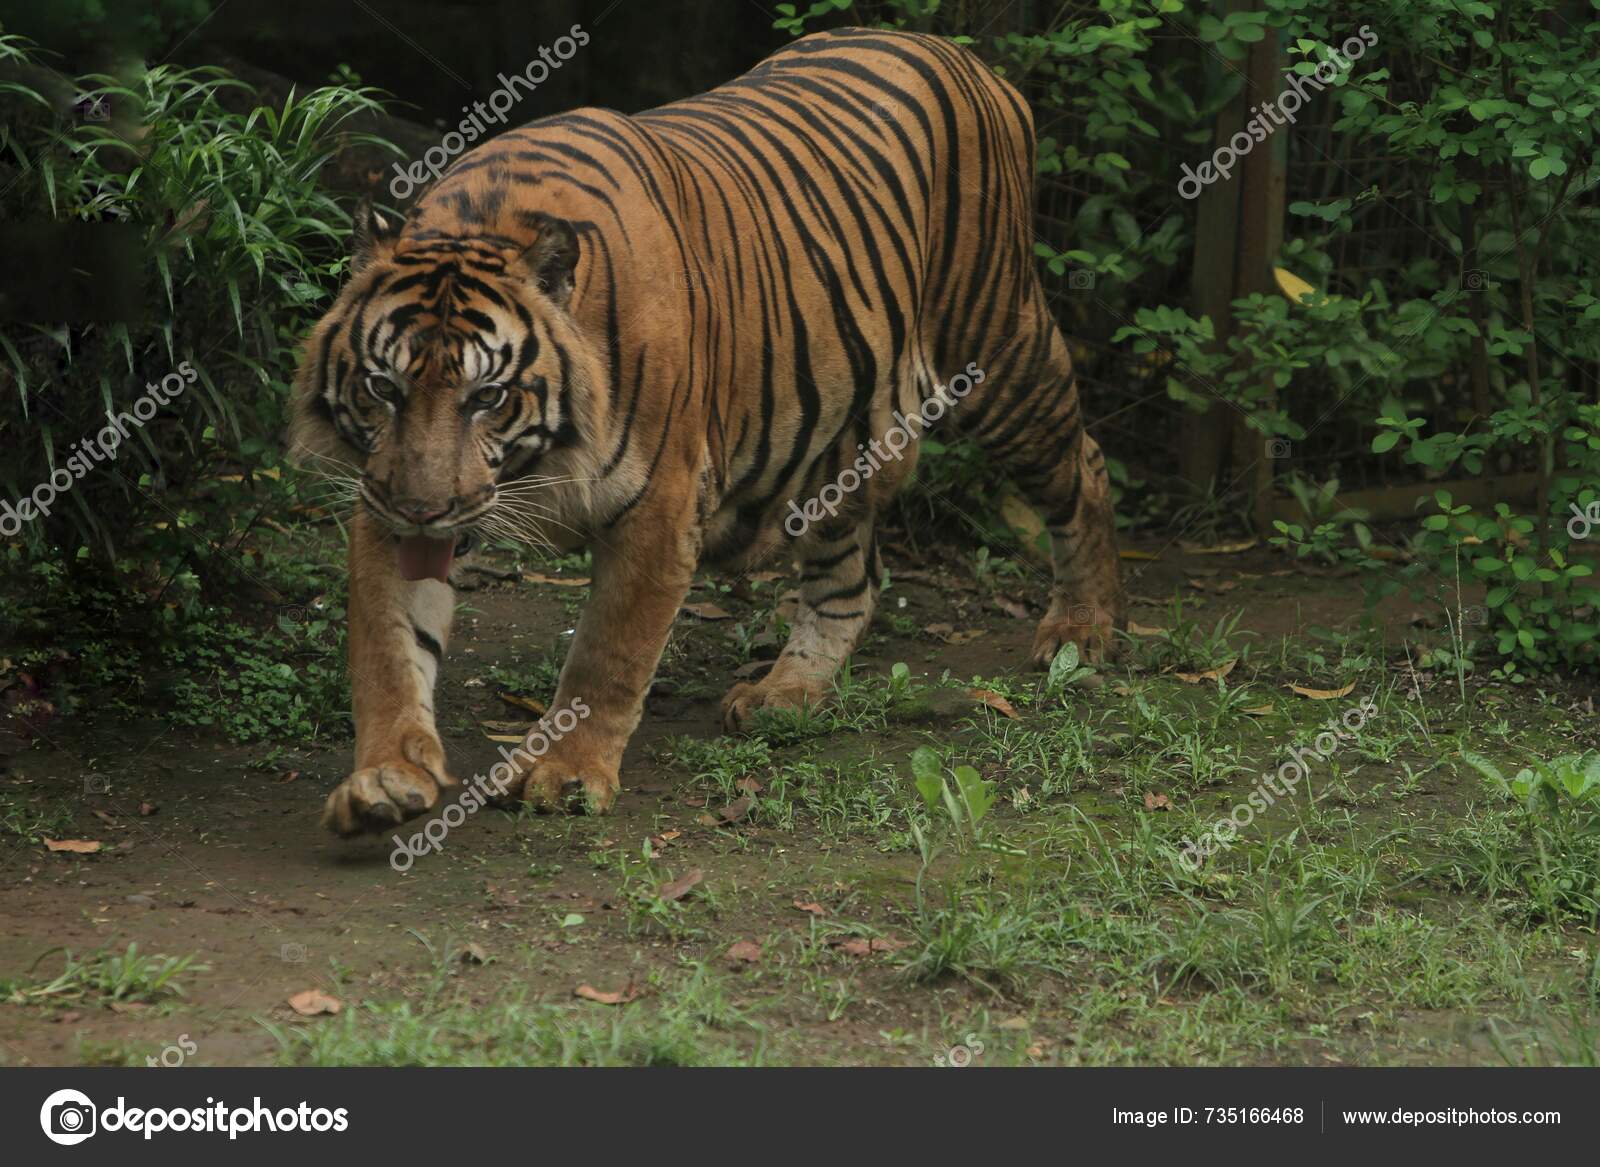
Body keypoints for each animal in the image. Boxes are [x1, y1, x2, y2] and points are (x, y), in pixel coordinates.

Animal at [289, 26, 1123, 836]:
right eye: (383, 388)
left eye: (486, 396)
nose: (423, 510)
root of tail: (971, 61)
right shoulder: (382, 493)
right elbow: (389, 645)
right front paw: (386, 776)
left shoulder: (659, 506)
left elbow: (606, 655)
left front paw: (567, 775)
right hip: (838, 436)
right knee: (851, 579)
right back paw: (787, 691)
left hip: (998, 351)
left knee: (1084, 464)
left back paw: (1078, 631)